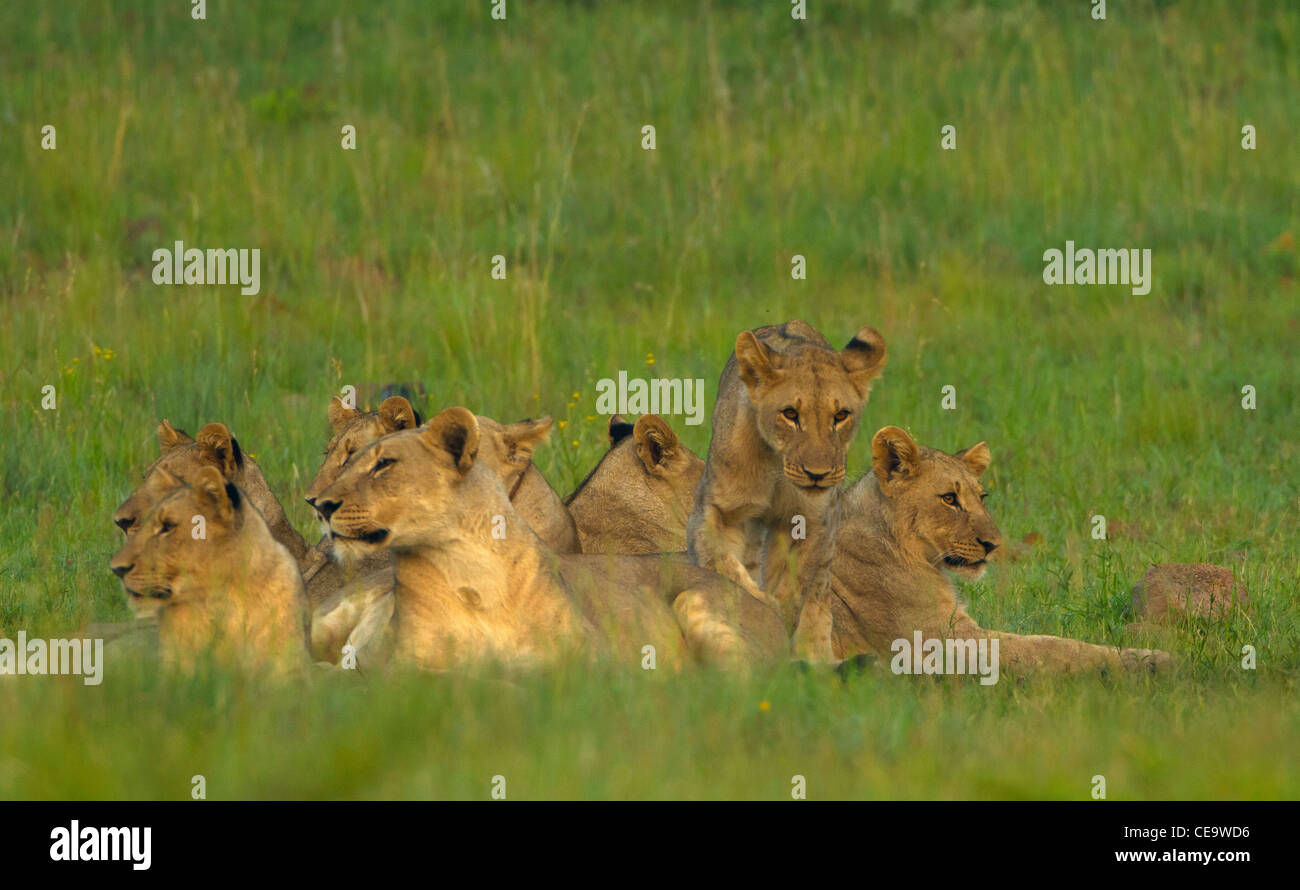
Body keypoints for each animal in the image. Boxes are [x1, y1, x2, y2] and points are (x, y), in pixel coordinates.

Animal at [686, 319, 886, 660]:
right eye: (790, 414)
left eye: (840, 415)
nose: (817, 475)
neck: (776, 467)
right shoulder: (715, 511)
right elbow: (724, 565)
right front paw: (758, 606)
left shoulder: (814, 520)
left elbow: (796, 583)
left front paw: (781, 617)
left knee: (818, 592)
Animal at [828, 426, 1172, 676]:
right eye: (949, 498)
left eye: (982, 497)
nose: (993, 544)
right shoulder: (939, 638)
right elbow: (1047, 647)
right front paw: (1150, 659)